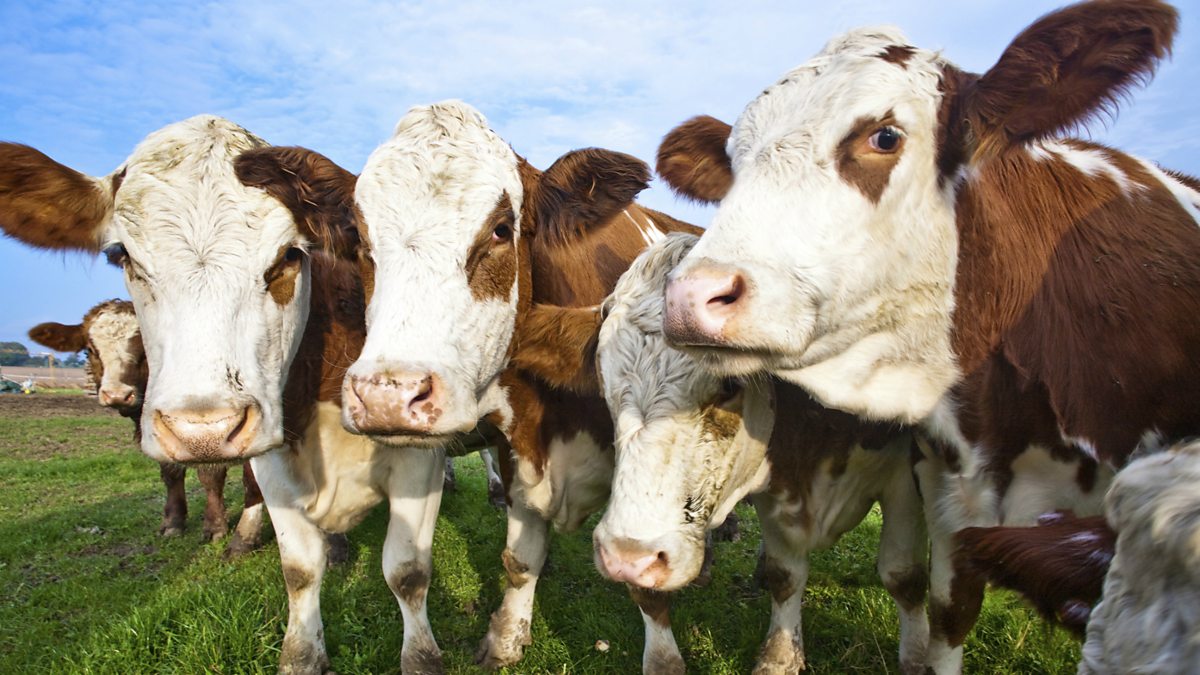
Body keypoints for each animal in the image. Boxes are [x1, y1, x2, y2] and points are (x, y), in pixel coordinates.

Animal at [29, 299, 266, 553]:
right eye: (91, 349)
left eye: (145, 347)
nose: (117, 395)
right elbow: (171, 473)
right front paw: (173, 523)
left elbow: (222, 477)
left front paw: (219, 528)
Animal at [233, 100, 701, 669]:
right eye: (360, 239)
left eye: (501, 229)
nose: (389, 396)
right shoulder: (520, 448)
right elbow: (520, 557)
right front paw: (507, 636)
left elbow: (649, 583)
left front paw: (664, 660)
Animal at [515, 233, 929, 674]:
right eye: (601, 379)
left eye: (730, 384)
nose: (628, 557)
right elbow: (785, 574)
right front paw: (780, 656)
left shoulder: (904, 476)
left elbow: (904, 575)